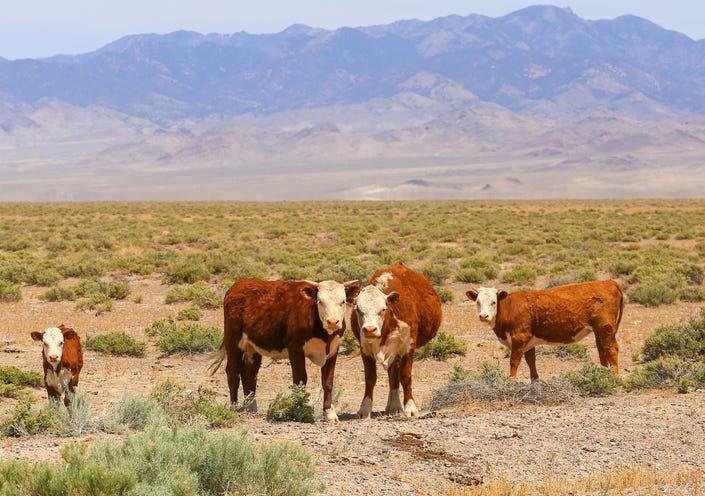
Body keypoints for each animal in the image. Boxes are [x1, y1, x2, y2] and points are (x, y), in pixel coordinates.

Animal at [208, 278, 360, 423]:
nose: (332, 322)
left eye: (343, 301)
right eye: (320, 301)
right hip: (233, 341)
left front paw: (329, 414)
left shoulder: (333, 350)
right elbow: (300, 380)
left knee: (249, 374)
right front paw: (299, 409)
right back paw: (234, 407)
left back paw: (251, 408)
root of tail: (238, 284)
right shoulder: (296, 349)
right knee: (233, 372)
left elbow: (328, 382)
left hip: (252, 347)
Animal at [351, 263, 442, 418]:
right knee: (392, 375)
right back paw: (393, 405)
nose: (369, 329)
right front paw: (365, 409)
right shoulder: (365, 348)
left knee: (395, 375)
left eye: (383, 309)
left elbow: (405, 376)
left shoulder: (408, 346)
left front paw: (410, 408)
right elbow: (370, 378)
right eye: (358, 310)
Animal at [466, 280, 623, 380]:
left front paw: (512, 379)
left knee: (612, 349)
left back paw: (614, 376)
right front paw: (534, 380)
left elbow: (514, 361)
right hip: (599, 331)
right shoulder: (528, 341)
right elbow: (531, 361)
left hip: (605, 327)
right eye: (478, 302)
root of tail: (610, 282)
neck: (510, 309)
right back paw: (604, 373)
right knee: (602, 350)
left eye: (494, 302)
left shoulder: (519, 338)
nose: (483, 316)